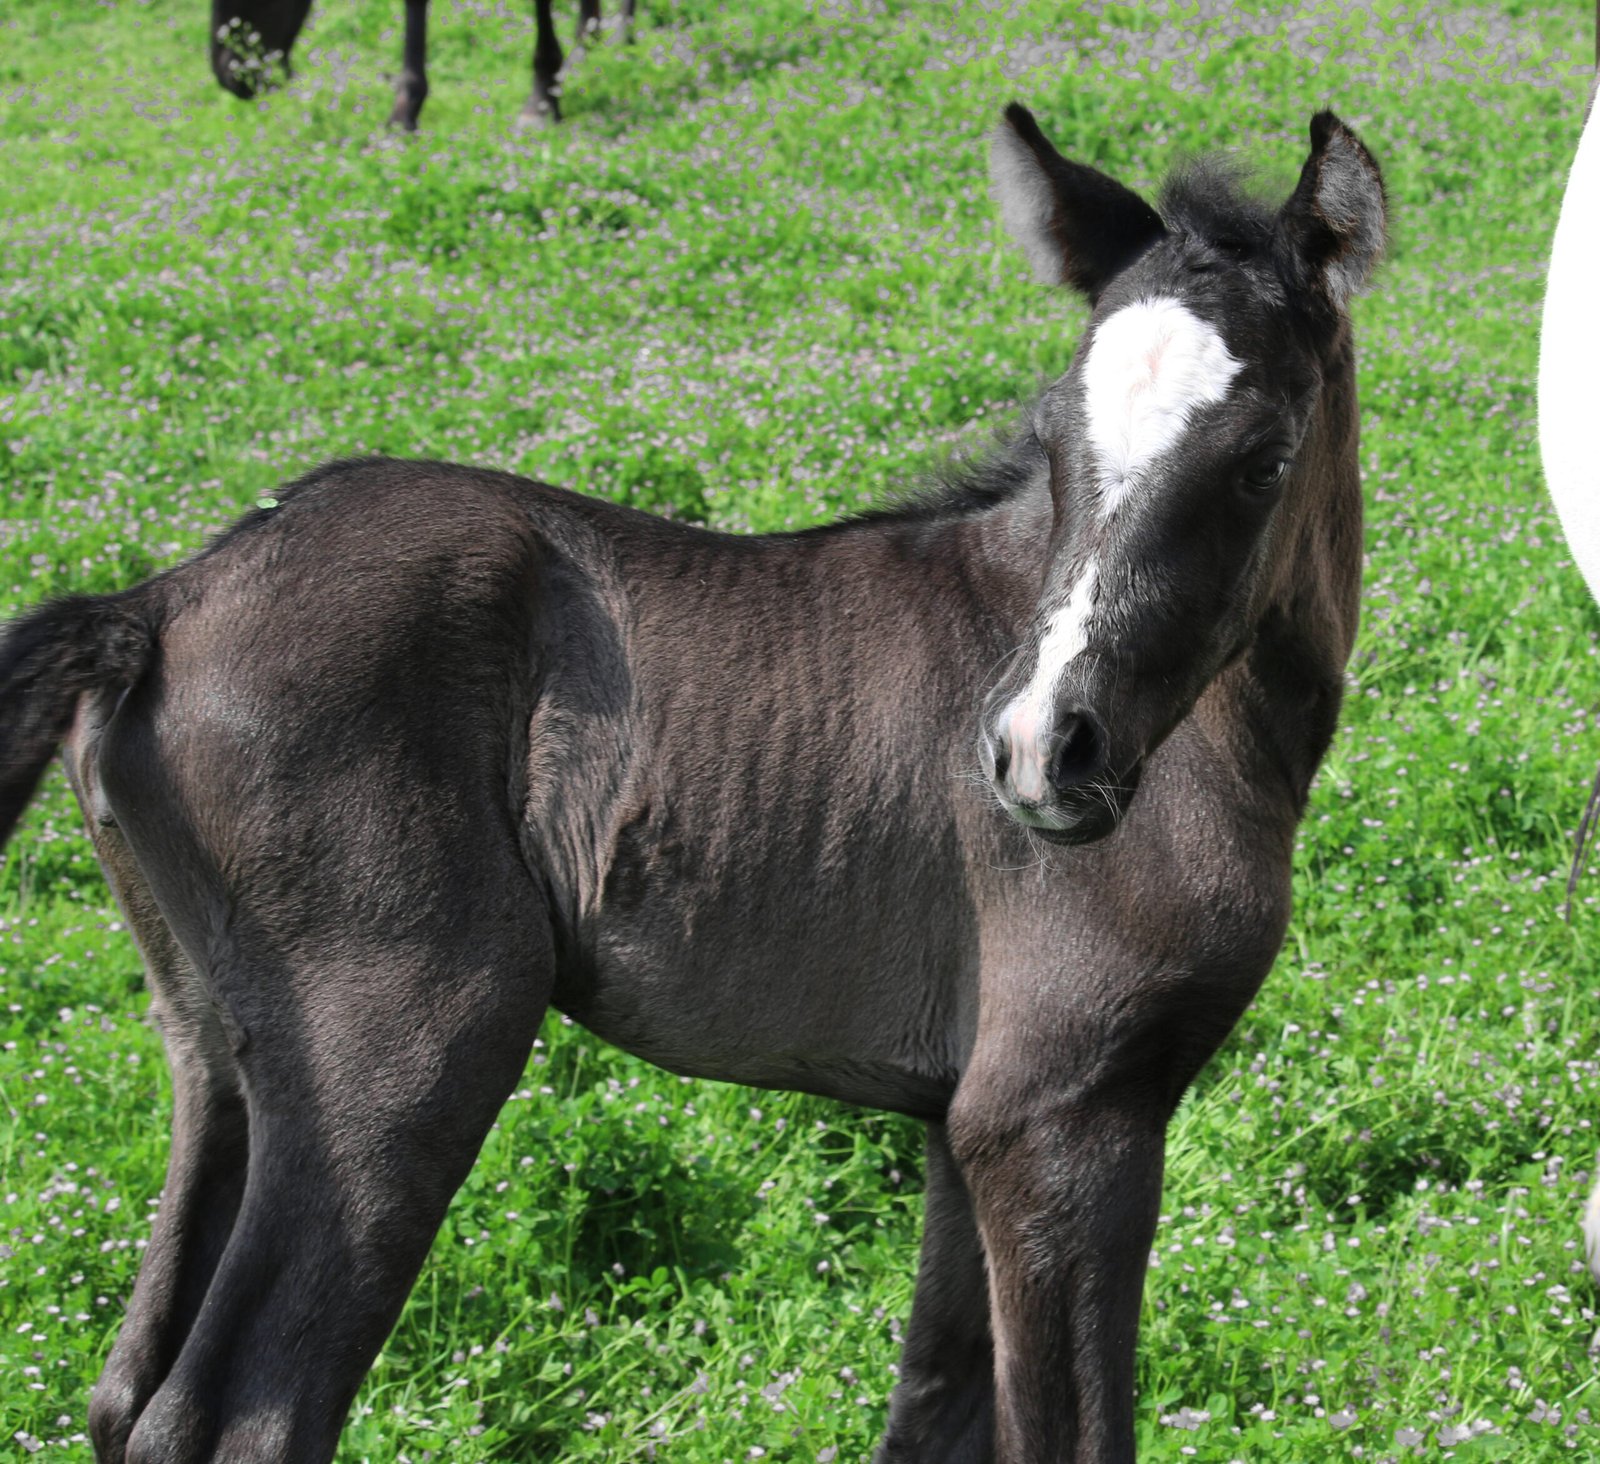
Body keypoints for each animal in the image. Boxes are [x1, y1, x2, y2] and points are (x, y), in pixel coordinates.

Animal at [0, 102, 1385, 1463]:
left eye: (1262, 460)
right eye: (1052, 444)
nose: (1040, 751)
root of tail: (156, 604)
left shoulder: (961, 1119)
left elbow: (929, 1414)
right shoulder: (1059, 1110)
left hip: (218, 1050)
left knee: (125, 1391)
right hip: (406, 1036)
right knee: (234, 1417)